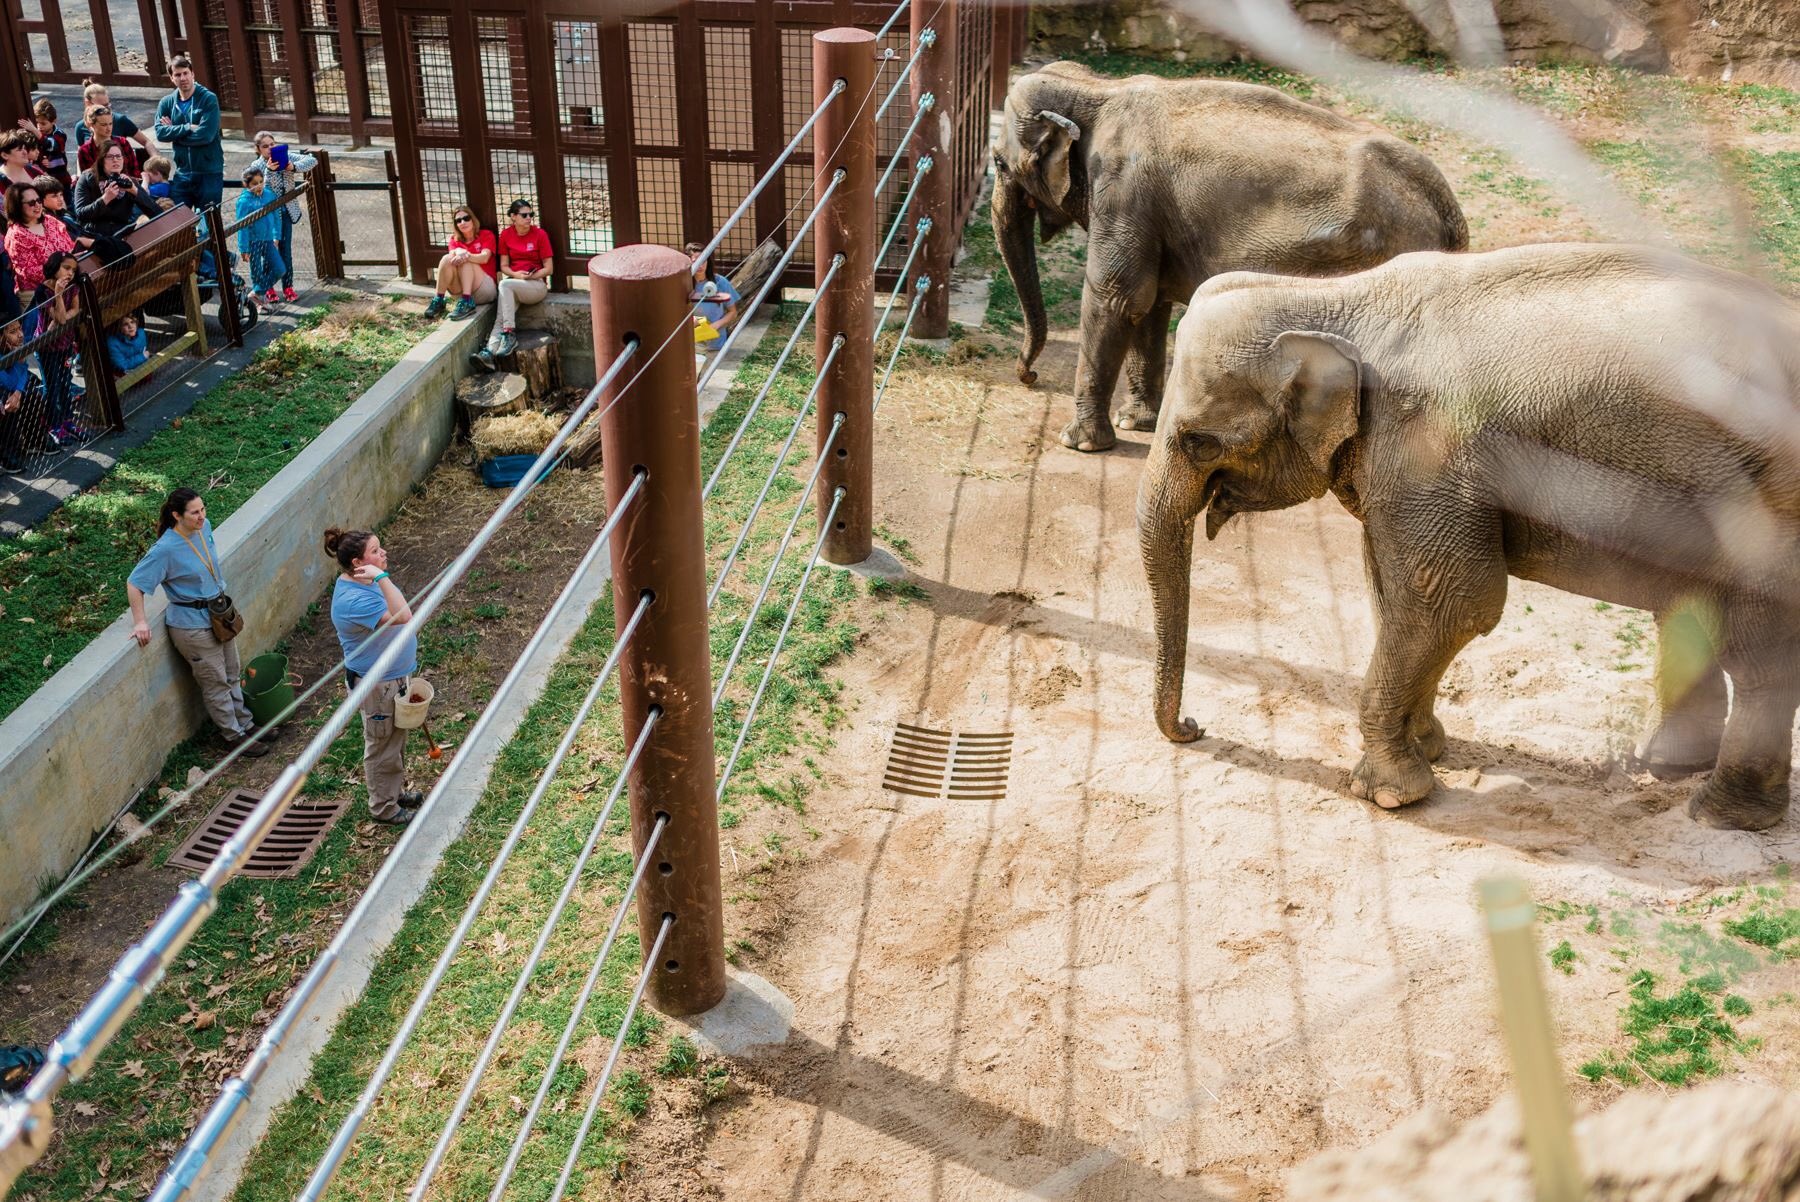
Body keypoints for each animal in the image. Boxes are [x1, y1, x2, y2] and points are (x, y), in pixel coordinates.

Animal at [991, 62, 1468, 454]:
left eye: (997, 163)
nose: (1028, 377)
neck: (1099, 89)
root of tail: (1448, 206)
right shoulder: (1149, 215)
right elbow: (1149, 303)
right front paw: (1137, 422)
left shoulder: (1124, 191)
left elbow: (1117, 297)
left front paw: (1079, 443)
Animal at [1137, 242, 1800, 831]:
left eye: (1199, 441)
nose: (1193, 728)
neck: (1332, 298)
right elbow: (1395, 594)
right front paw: (1428, 749)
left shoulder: (1428, 445)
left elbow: (1451, 601)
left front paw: (1390, 794)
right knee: (1688, 611)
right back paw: (1670, 771)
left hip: (1772, 510)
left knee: (1757, 654)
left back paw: (1719, 816)